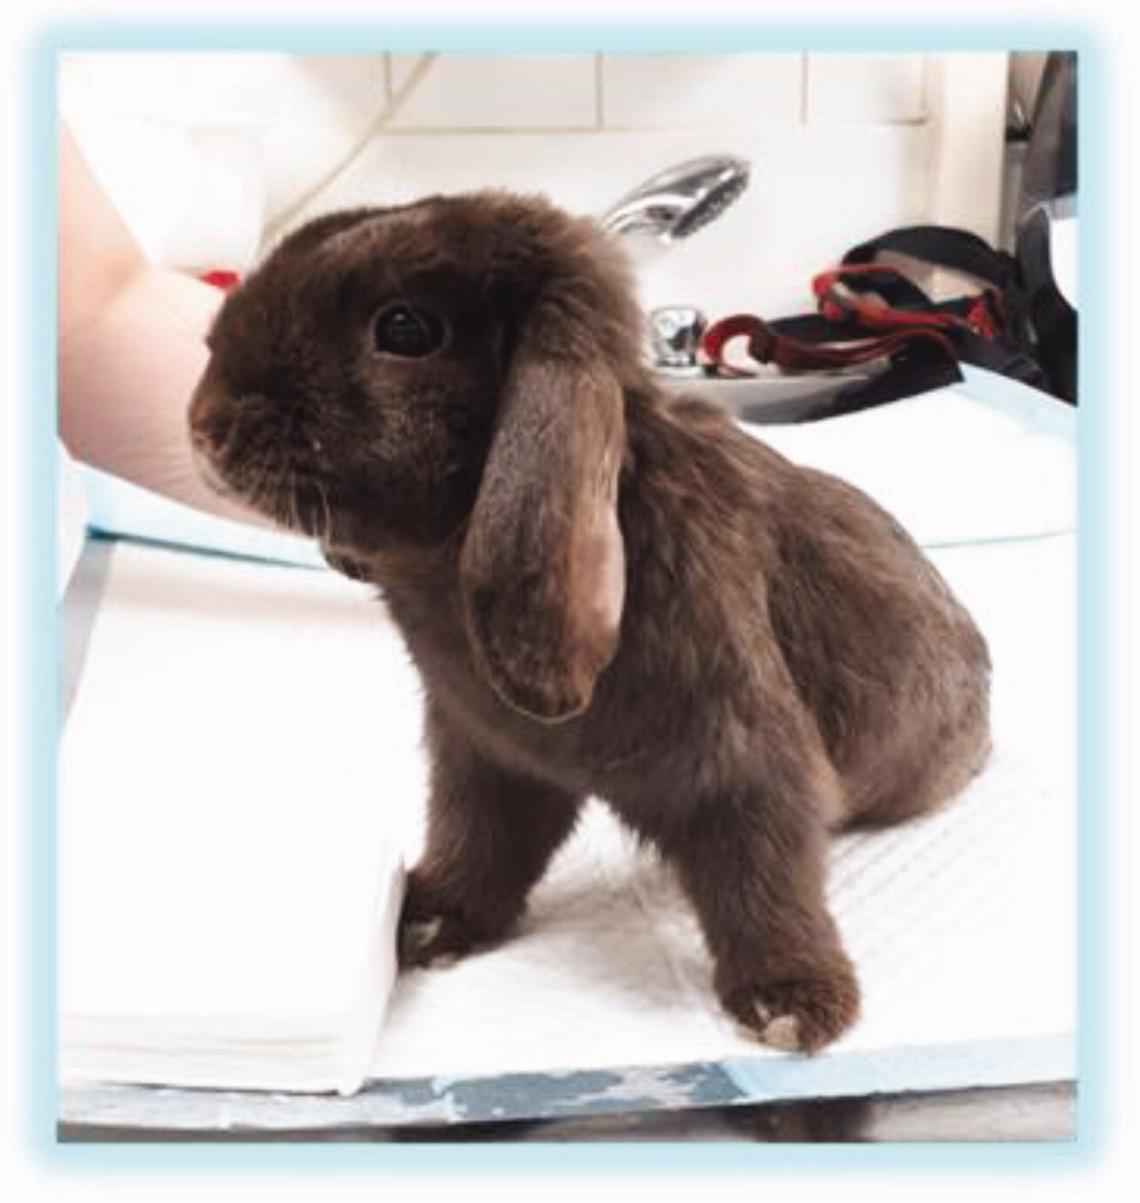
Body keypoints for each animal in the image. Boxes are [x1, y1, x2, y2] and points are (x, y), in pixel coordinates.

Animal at [189, 191, 992, 1054]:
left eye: (404, 329)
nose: (203, 423)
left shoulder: (744, 762)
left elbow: (763, 882)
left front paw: (794, 1005)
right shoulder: (489, 758)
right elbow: (479, 845)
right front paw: (428, 922)